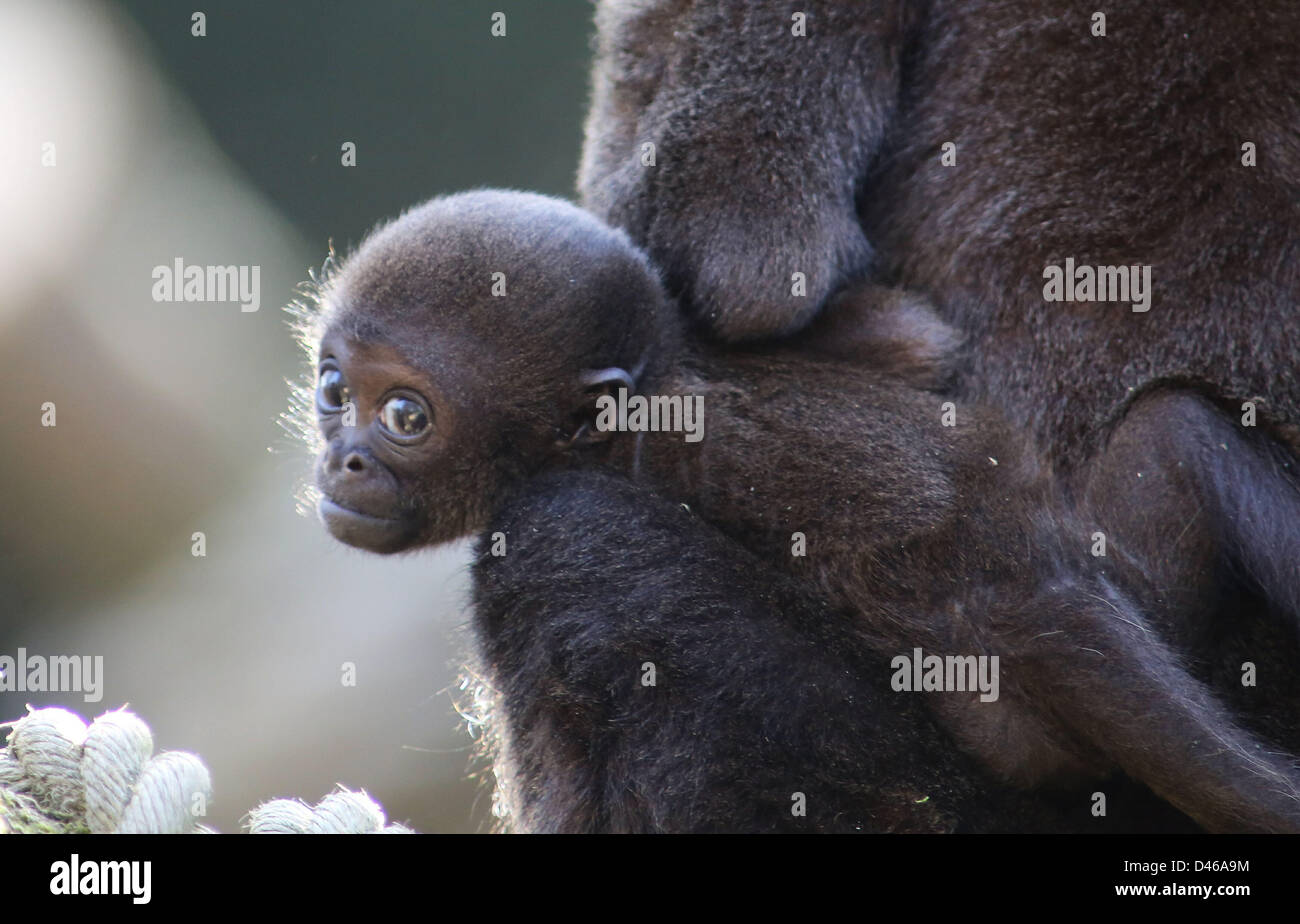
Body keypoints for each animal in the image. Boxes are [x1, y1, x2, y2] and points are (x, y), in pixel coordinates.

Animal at [299, 189, 1300, 832]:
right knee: (1180, 426)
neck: (654, 382)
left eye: (406, 417)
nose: (343, 460)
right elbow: (901, 338)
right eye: (333, 392)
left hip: (1011, 727)